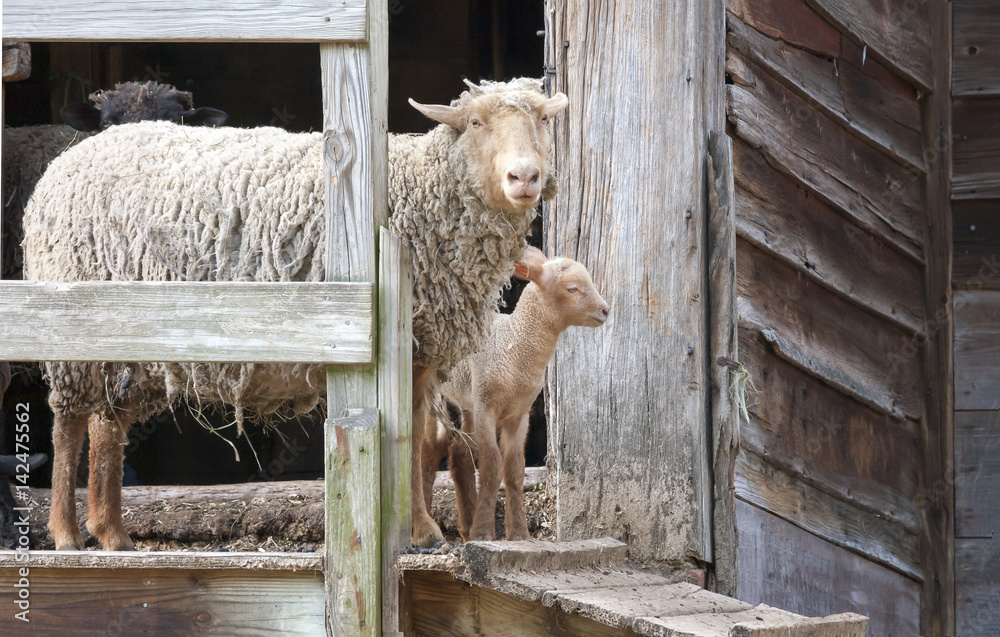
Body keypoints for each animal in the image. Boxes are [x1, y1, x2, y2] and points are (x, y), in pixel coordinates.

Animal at [421, 247, 609, 541]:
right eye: (573, 288)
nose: (605, 310)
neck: (514, 344)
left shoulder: (519, 413)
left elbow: (513, 469)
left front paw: (518, 533)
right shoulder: (487, 407)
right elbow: (491, 466)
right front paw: (484, 533)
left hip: (469, 399)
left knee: (459, 454)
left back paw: (466, 525)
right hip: (439, 396)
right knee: (428, 456)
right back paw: (430, 525)